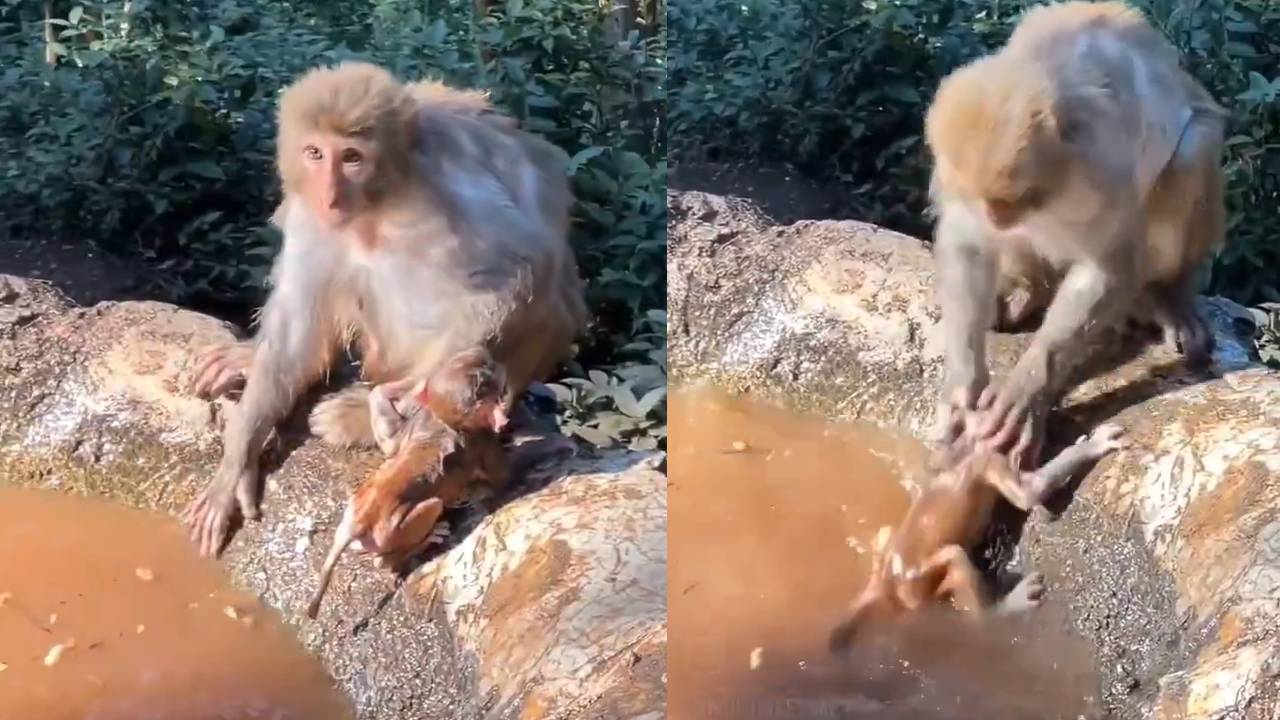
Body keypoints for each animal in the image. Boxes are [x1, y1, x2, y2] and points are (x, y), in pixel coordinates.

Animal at [183, 61, 587, 558]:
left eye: (351, 158)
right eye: (315, 153)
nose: (330, 194)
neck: (382, 196)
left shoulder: (444, 190)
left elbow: (522, 268)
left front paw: (412, 400)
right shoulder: (310, 210)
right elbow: (297, 319)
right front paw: (238, 458)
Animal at [305, 348, 511, 619]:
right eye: (490, 371)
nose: (494, 357)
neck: (443, 418)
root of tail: (359, 523)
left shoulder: (415, 423)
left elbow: (385, 420)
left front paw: (412, 382)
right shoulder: (482, 441)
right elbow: (504, 477)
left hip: (352, 512)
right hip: (393, 531)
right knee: (423, 516)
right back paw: (429, 536)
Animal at [827, 416, 1130, 654]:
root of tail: (886, 581)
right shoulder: (991, 462)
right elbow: (1030, 491)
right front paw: (1093, 444)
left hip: (887, 541)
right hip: (922, 582)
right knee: (974, 605)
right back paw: (1010, 604)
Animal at [925, 1, 1227, 467]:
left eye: (1018, 196)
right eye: (986, 201)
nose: (998, 218)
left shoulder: (1100, 167)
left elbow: (1109, 267)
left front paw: (1027, 391)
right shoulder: (954, 174)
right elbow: (967, 243)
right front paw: (962, 387)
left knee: (1191, 152)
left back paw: (1165, 297)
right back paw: (1026, 289)